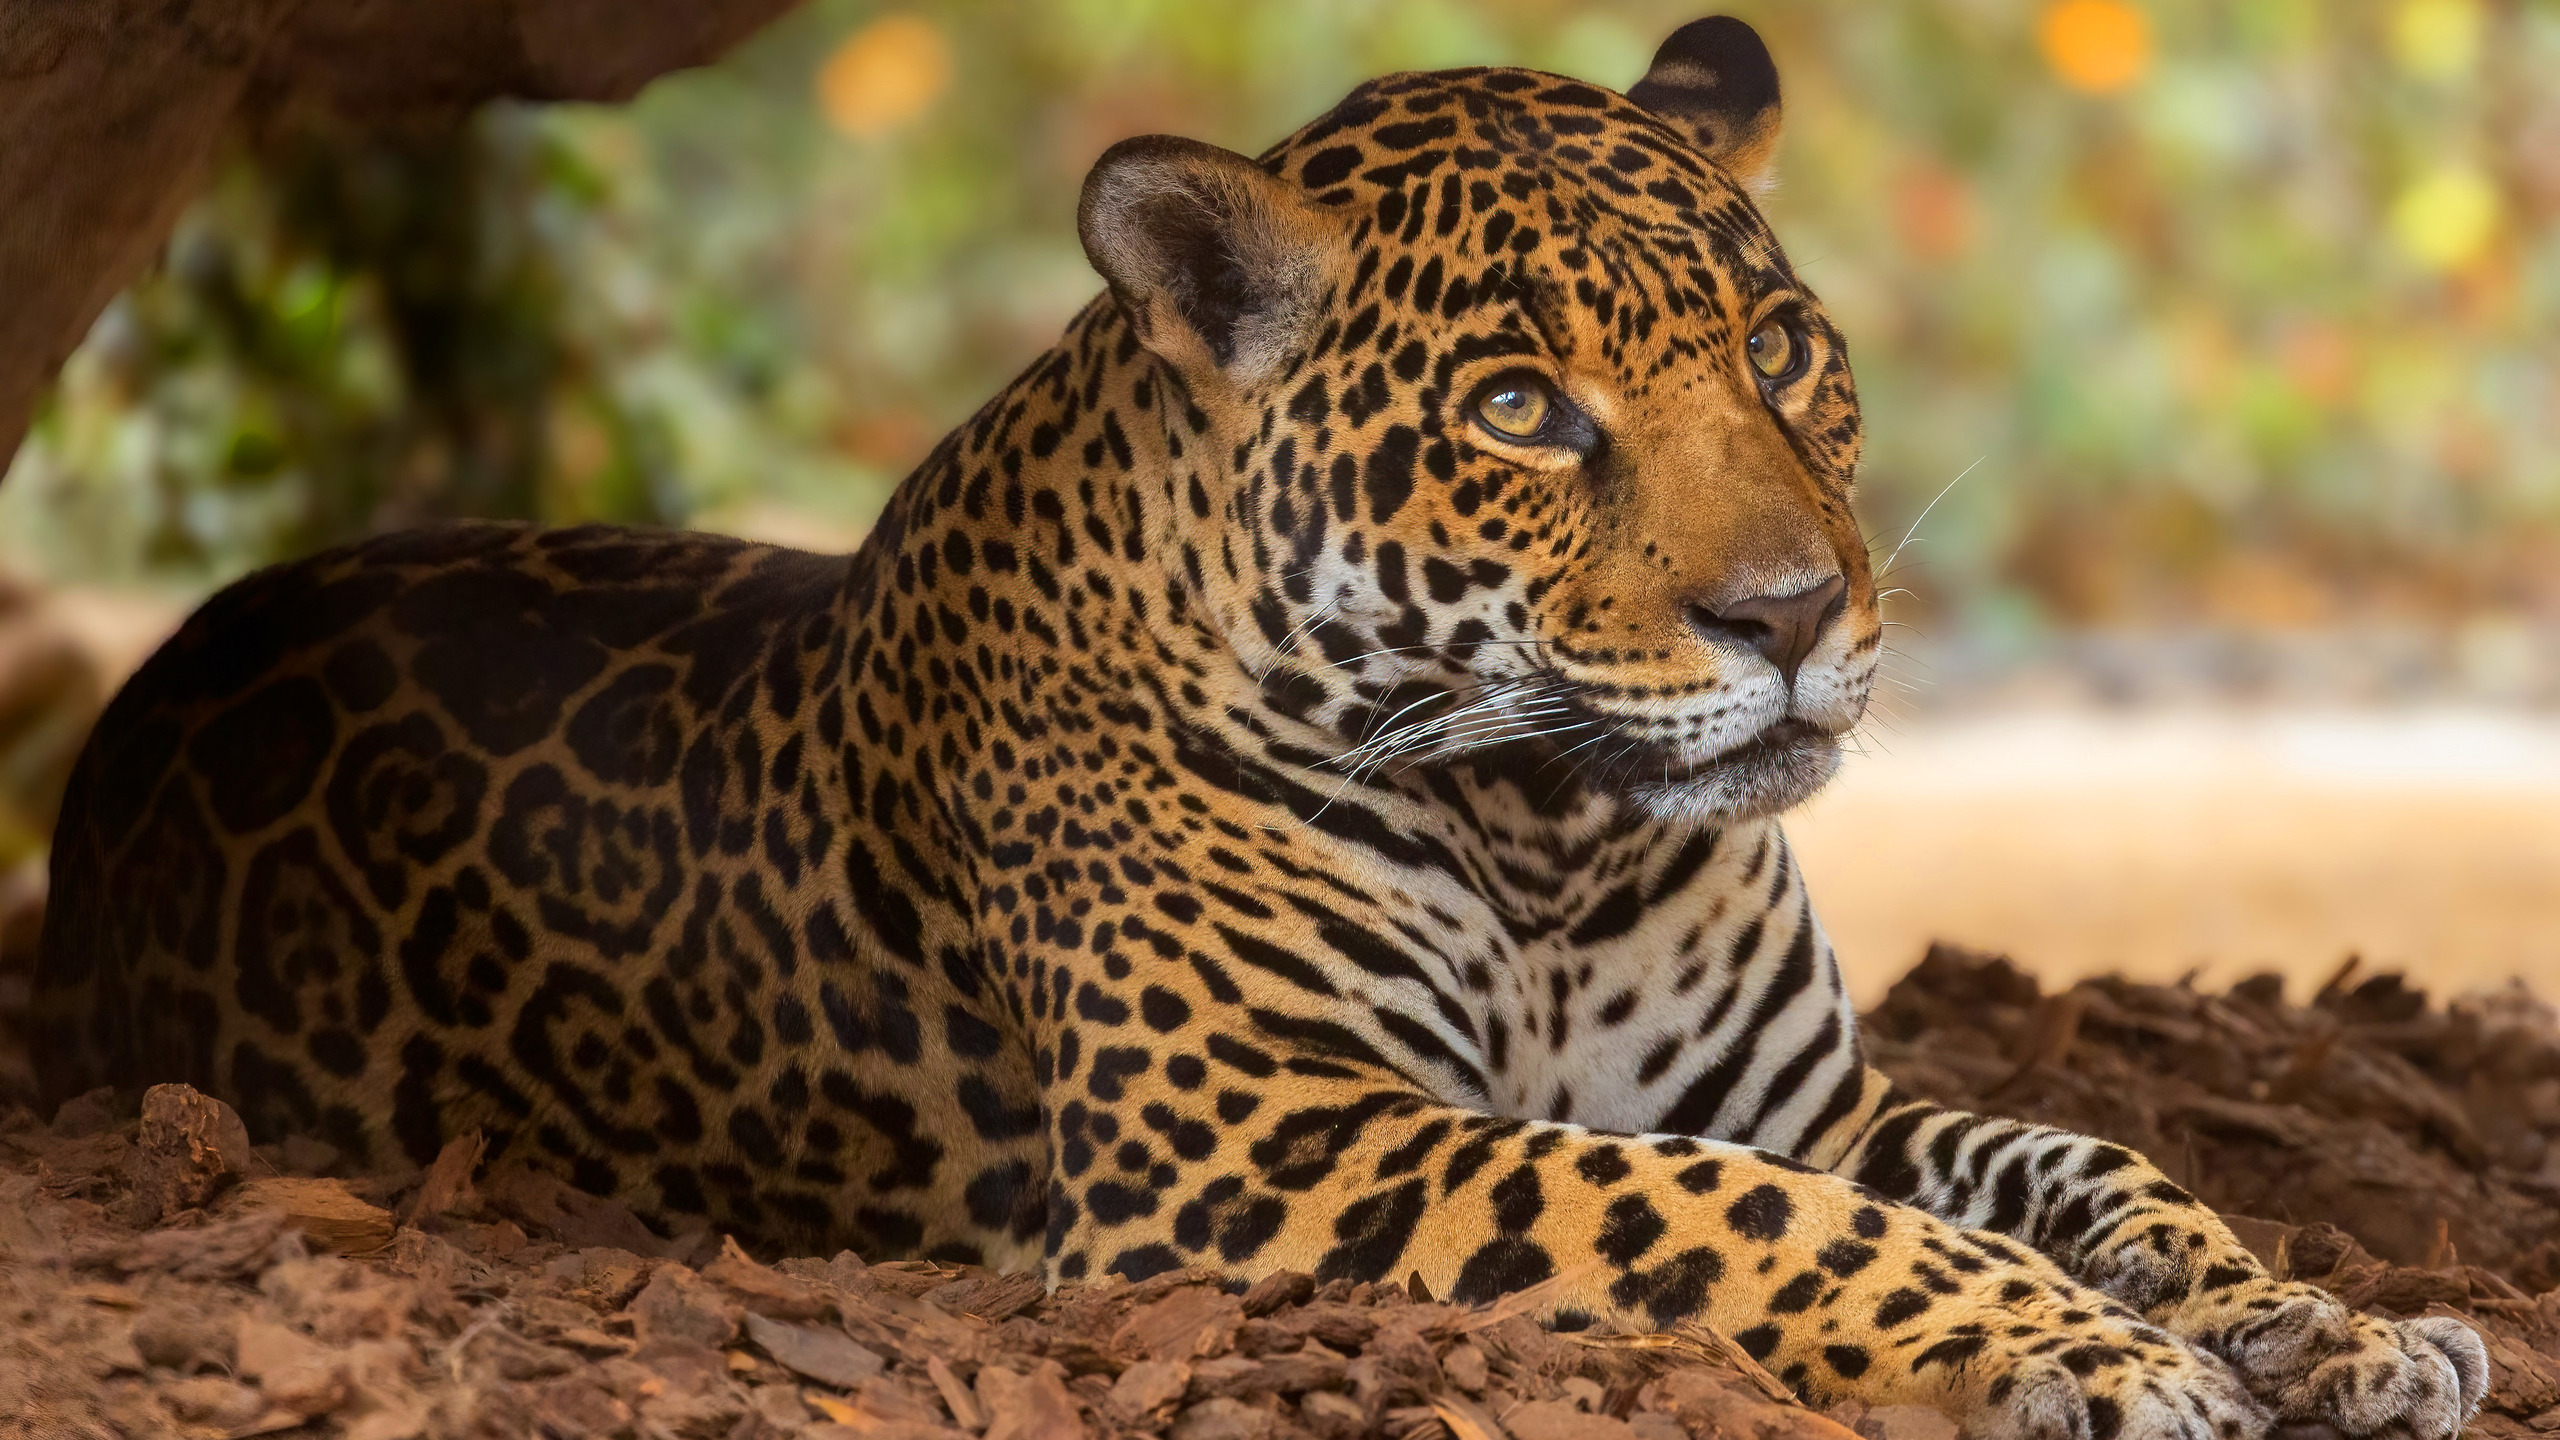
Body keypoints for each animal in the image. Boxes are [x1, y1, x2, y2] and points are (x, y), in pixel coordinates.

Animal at [33, 17, 2483, 1439]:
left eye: (1783, 352)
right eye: (1522, 411)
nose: (1795, 616)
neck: (1557, 837)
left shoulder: (1811, 1099)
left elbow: (2087, 1162)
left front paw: (2325, 1322)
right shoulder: (1262, 1142)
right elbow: (1721, 1216)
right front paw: (2101, 1356)